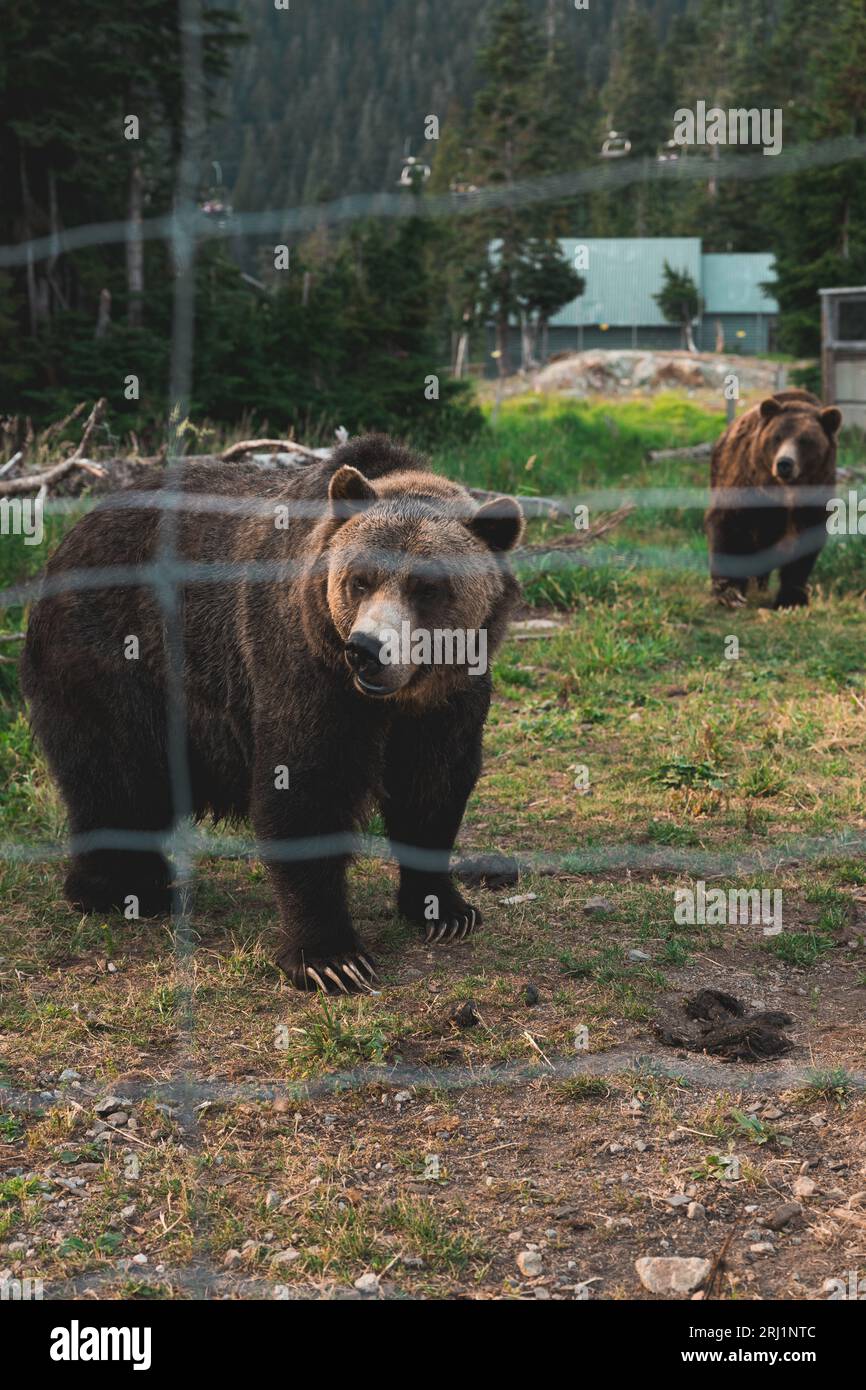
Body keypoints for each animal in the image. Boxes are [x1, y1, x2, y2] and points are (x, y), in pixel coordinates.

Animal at [21, 435, 525, 993]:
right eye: (360, 580)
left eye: (428, 587)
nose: (367, 650)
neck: (391, 700)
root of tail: (72, 535)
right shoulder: (303, 665)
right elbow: (304, 787)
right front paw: (332, 957)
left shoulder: (450, 697)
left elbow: (435, 786)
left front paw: (445, 909)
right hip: (113, 656)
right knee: (117, 778)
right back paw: (125, 890)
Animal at [705, 388, 841, 608]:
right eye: (777, 437)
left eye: (806, 440)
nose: (784, 463)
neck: (783, 490)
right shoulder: (744, 484)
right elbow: (727, 524)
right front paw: (730, 593)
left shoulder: (814, 496)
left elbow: (804, 545)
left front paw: (791, 599)